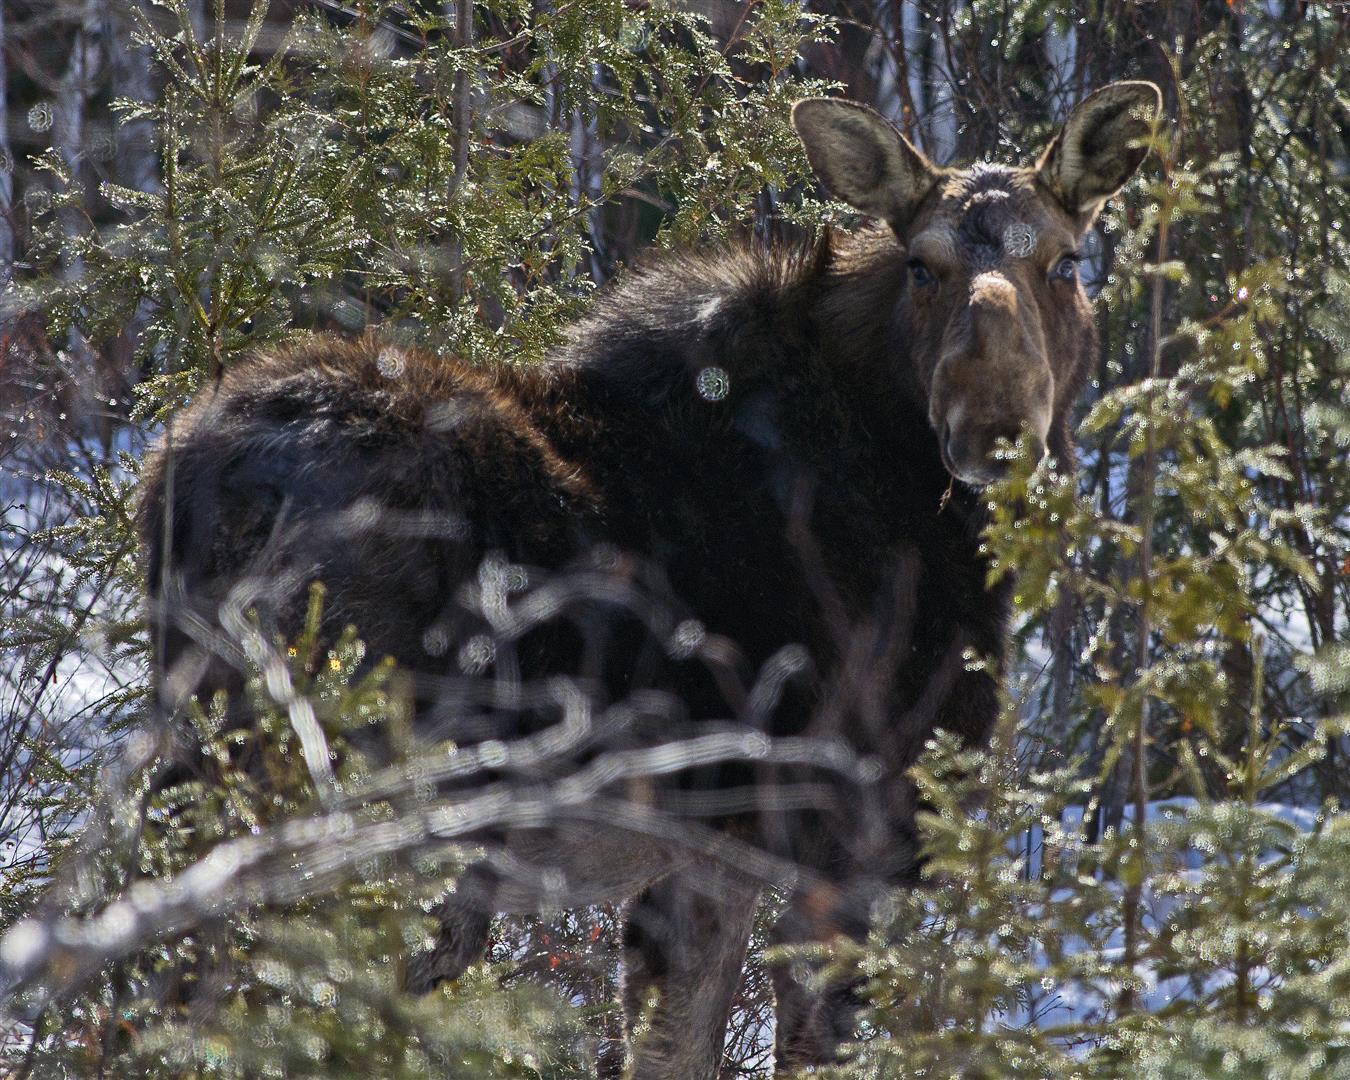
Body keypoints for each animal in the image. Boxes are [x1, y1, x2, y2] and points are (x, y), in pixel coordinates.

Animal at [139, 81, 1162, 1077]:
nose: (994, 431)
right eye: (922, 266)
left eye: (1067, 262)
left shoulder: (709, 857)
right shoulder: (853, 826)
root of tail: (208, 489)